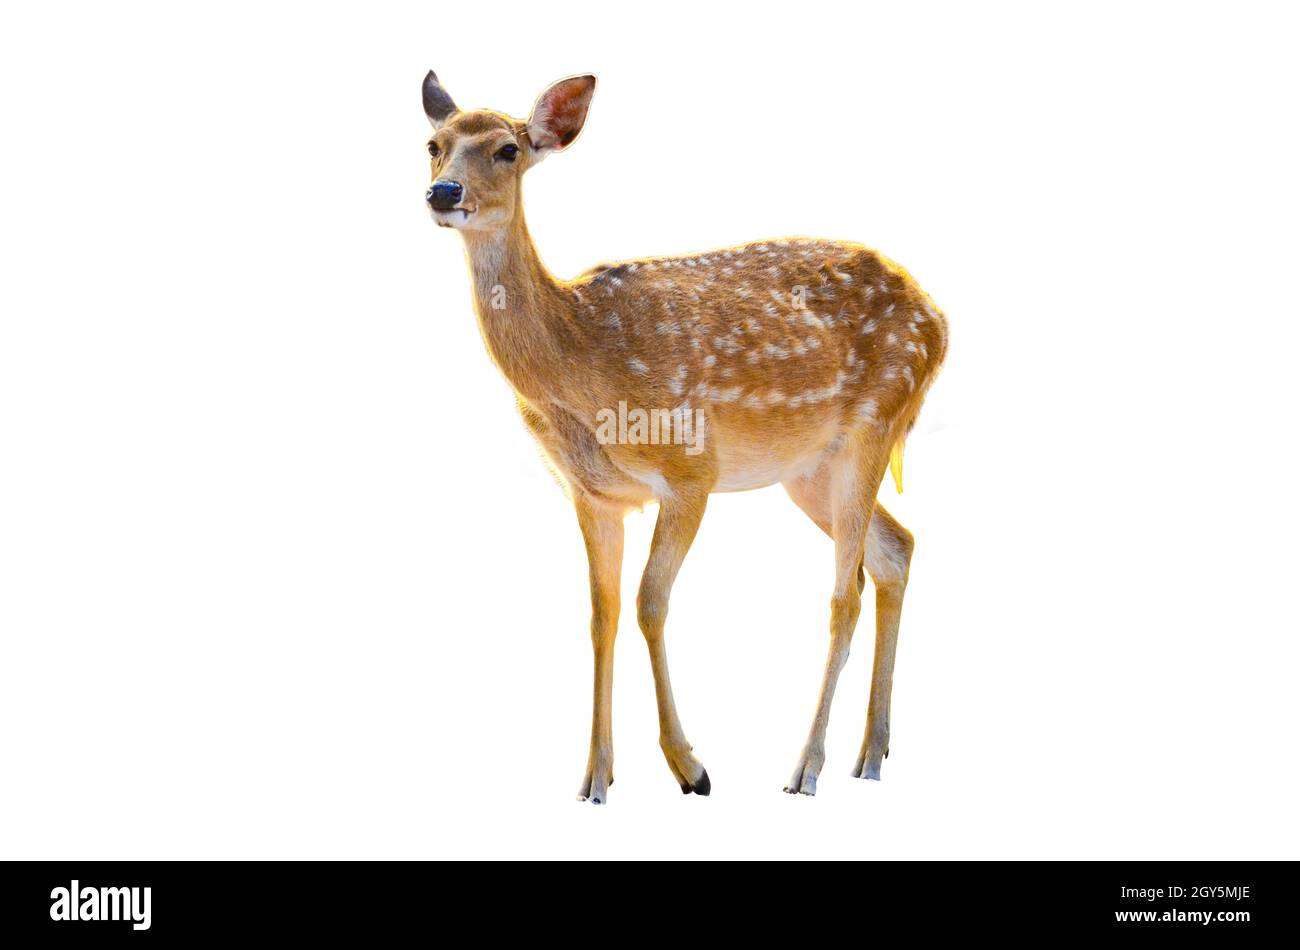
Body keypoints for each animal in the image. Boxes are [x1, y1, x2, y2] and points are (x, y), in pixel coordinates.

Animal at [422, 70, 948, 803]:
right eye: (433, 144)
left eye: (506, 149)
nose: (444, 193)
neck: (576, 363)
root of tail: (941, 322)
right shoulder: (592, 494)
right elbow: (602, 615)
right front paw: (594, 778)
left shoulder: (690, 469)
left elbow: (650, 603)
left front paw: (689, 768)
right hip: (809, 471)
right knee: (897, 549)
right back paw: (871, 754)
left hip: (877, 419)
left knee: (846, 593)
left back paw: (807, 768)